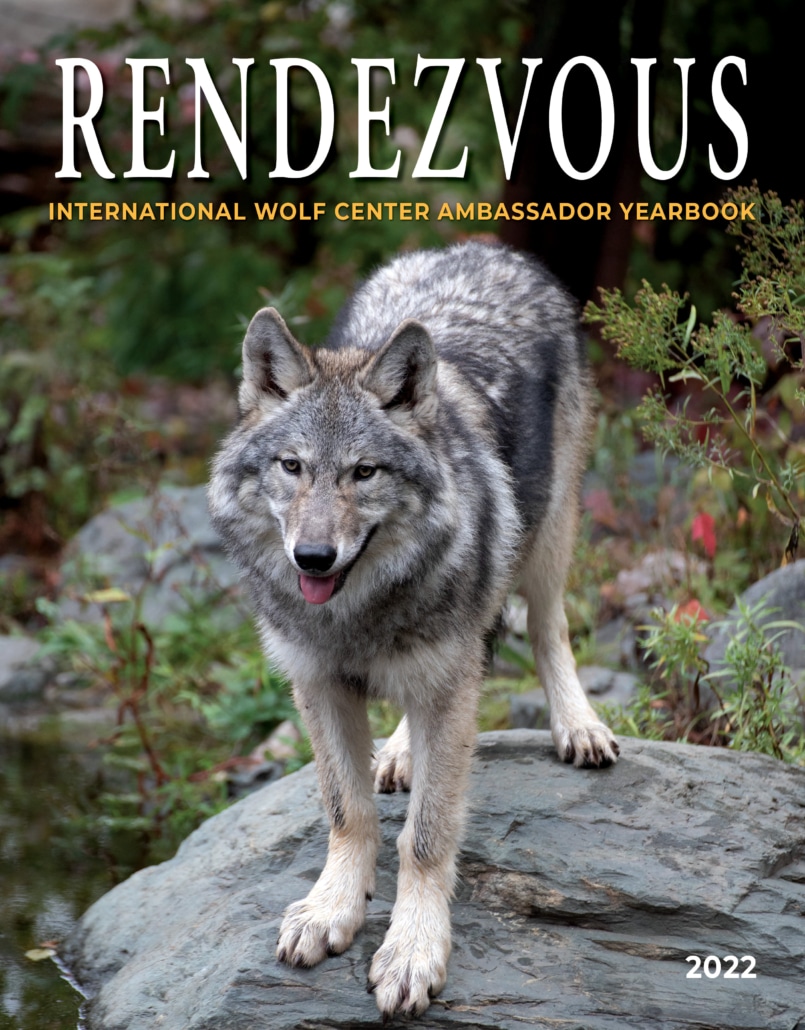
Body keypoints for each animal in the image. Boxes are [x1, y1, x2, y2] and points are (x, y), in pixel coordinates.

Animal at [207, 240, 619, 1018]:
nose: (312, 556)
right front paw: (331, 909)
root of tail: (485, 248)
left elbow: (425, 839)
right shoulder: (317, 685)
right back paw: (398, 752)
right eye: (292, 467)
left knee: (548, 630)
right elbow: (348, 812)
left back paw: (576, 725)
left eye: (364, 473)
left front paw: (411, 951)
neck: (356, 619)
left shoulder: (450, 689)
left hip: (548, 537)